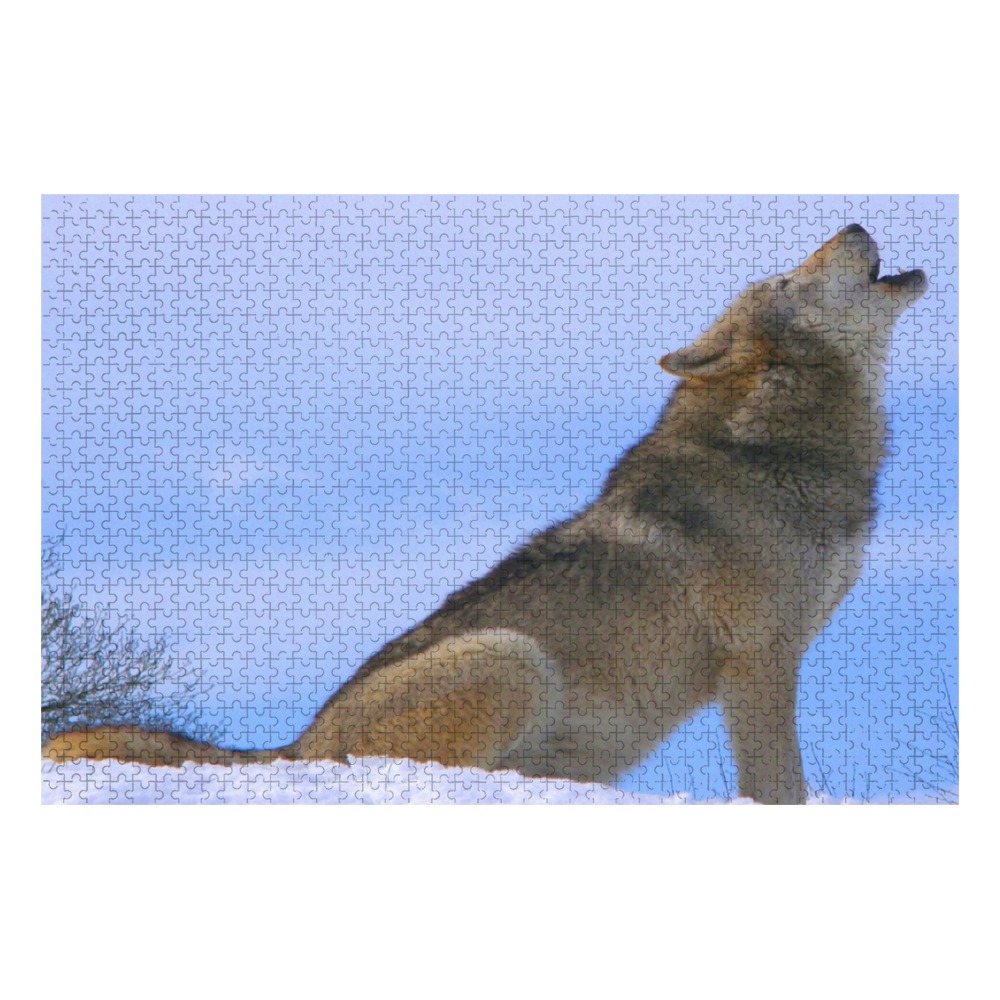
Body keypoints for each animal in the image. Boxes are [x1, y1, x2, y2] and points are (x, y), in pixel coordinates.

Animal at [44, 226, 926, 803]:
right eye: (786, 282)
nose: (854, 223)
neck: (780, 447)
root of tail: (297, 748)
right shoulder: (759, 659)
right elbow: (781, 786)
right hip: (511, 656)